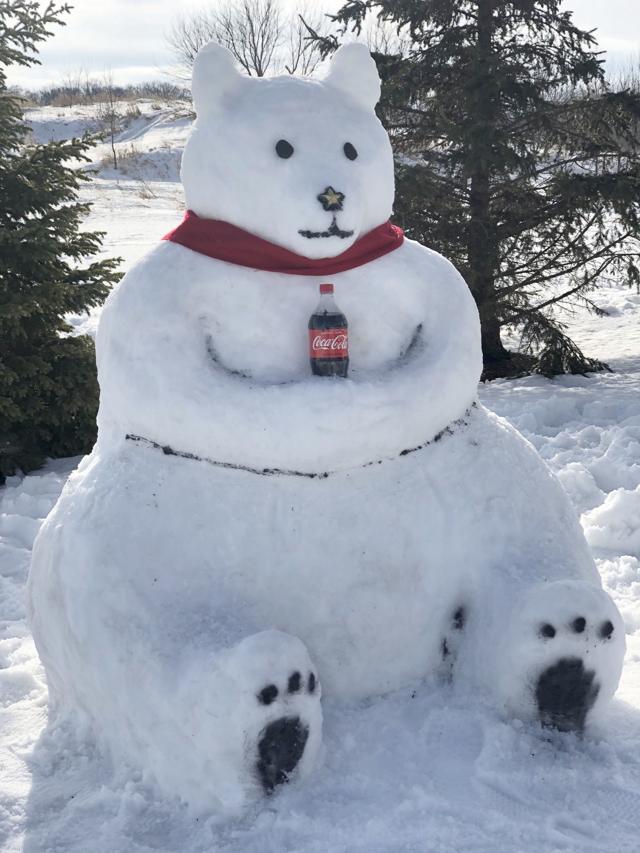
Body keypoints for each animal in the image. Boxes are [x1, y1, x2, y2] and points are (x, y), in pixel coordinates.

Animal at [28, 42, 625, 815]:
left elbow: (451, 327)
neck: (305, 267)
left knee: (527, 549)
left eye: (350, 147)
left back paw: (566, 645)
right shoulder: (161, 300)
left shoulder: (412, 268)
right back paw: (265, 709)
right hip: (137, 543)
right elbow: (159, 357)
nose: (336, 196)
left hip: (501, 486)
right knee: (141, 631)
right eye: (281, 147)